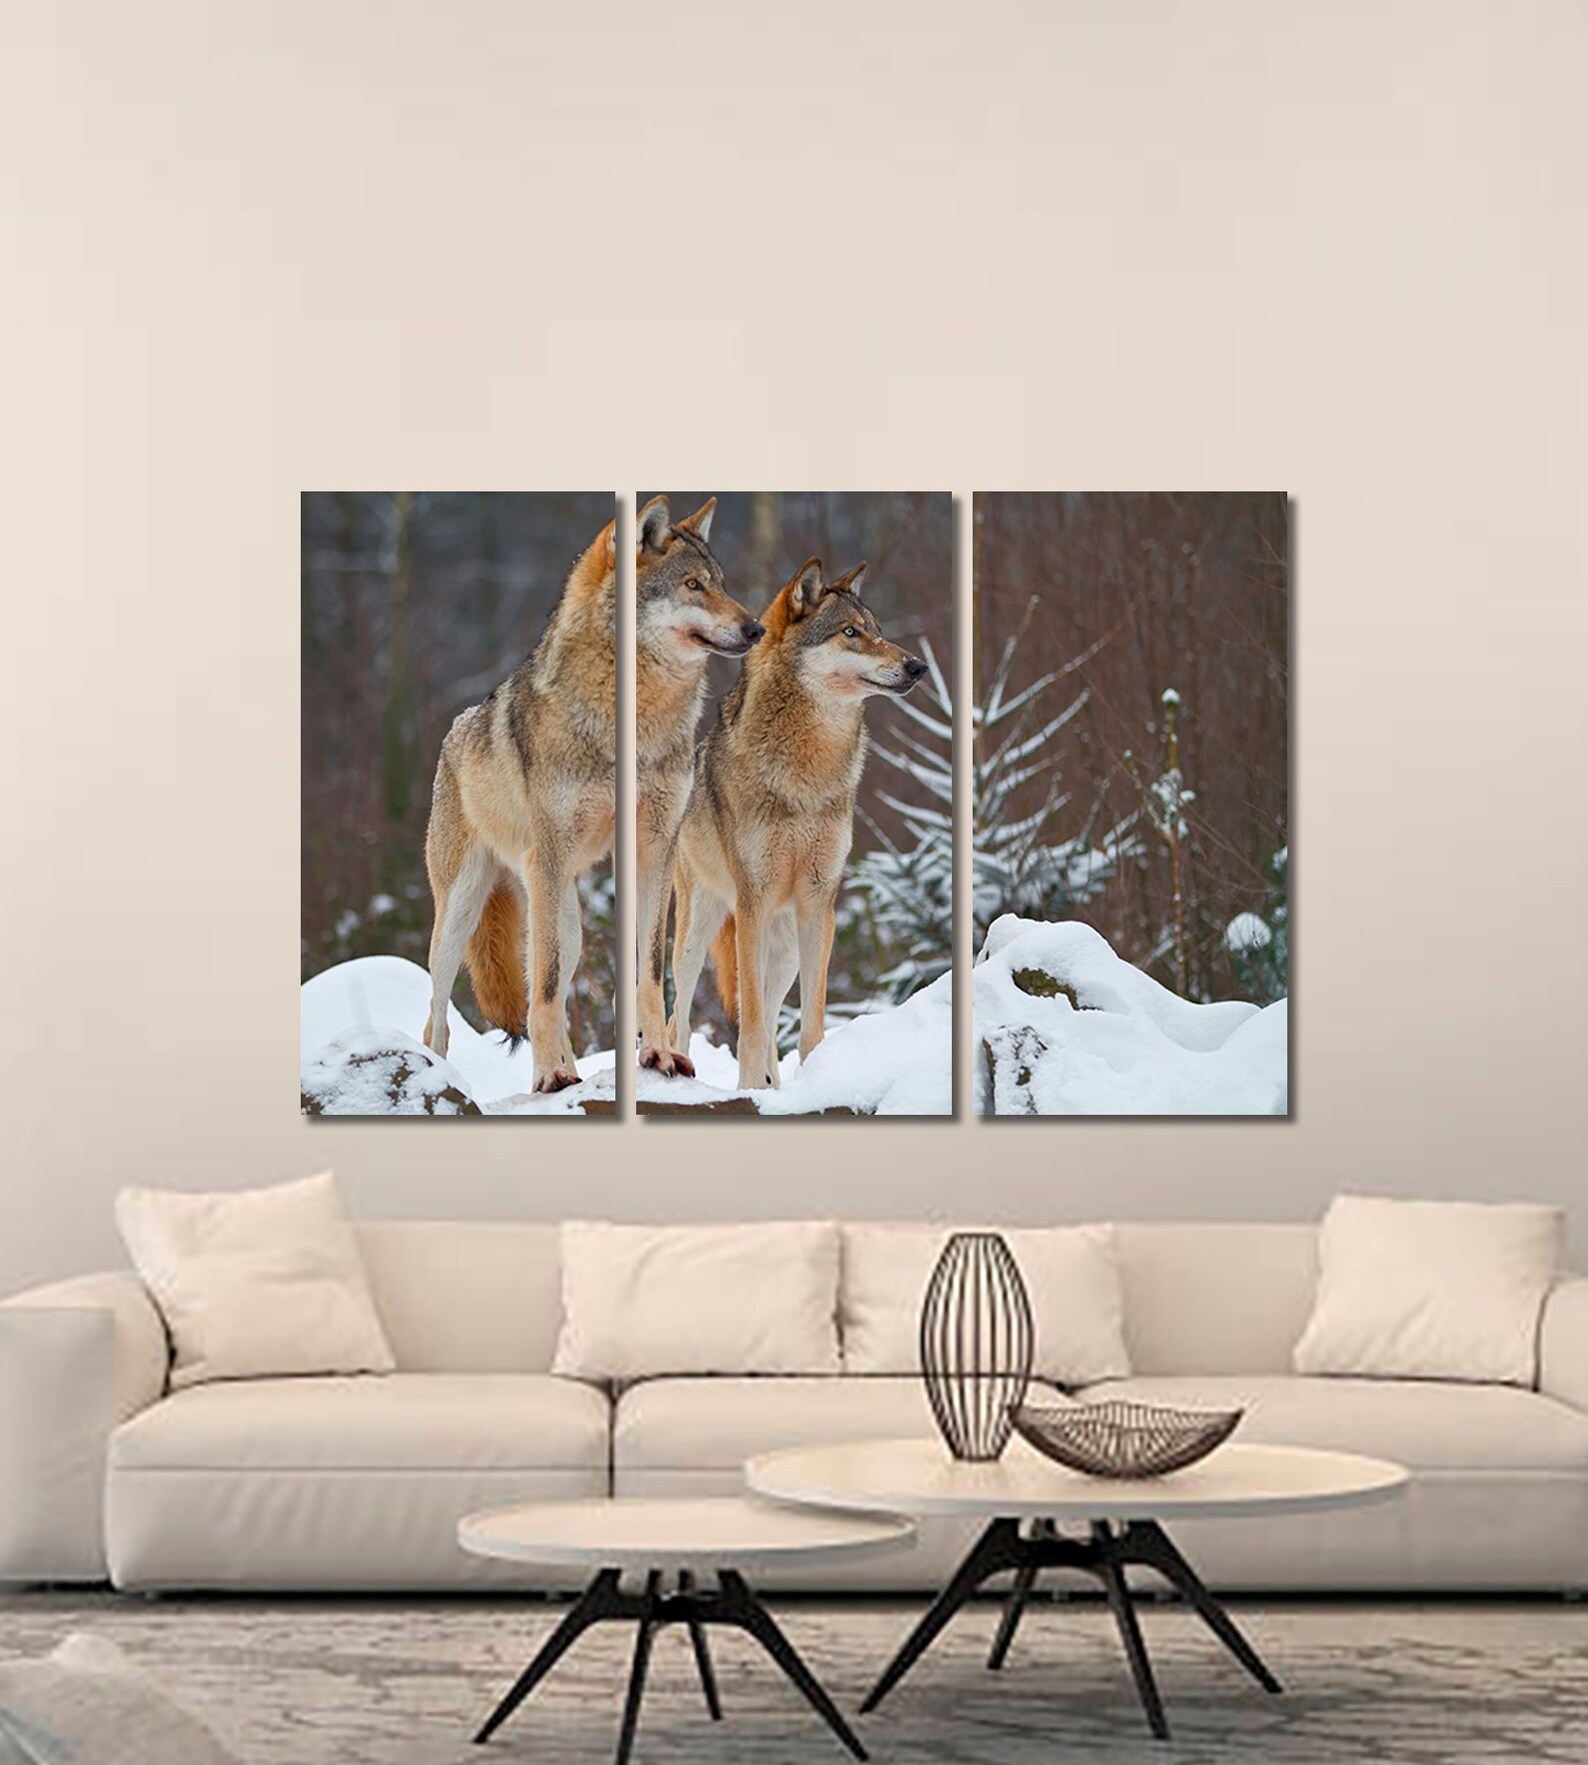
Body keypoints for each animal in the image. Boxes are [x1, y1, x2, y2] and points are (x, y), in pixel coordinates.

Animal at [668, 557, 927, 1090]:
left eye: (877, 631)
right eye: (850, 632)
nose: (917, 666)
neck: (808, 772)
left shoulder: (820, 903)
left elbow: (808, 1023)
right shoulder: (751, 905)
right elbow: (749, 1024)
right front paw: (748, 1090)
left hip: (783, 950)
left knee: (770, 1021)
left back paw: (776, 1086)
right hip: (699, 932)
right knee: (677, 1014)